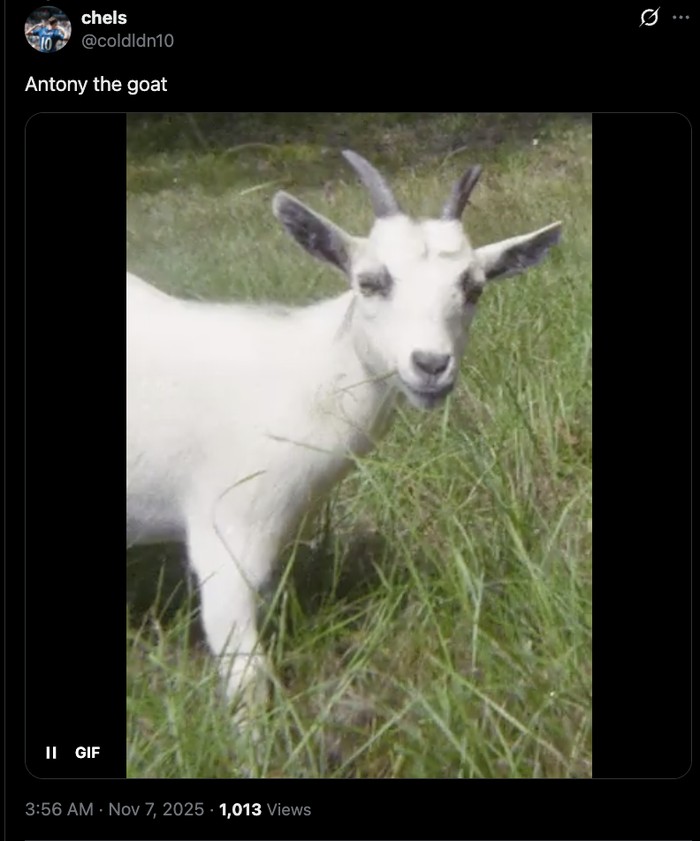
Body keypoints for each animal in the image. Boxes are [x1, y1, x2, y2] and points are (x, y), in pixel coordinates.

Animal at [126, 150, 562, 723]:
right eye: (371, 281)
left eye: (474, 287)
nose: (431, 365)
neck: (297, 371)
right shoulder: (229, 531)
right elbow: (247, 679)